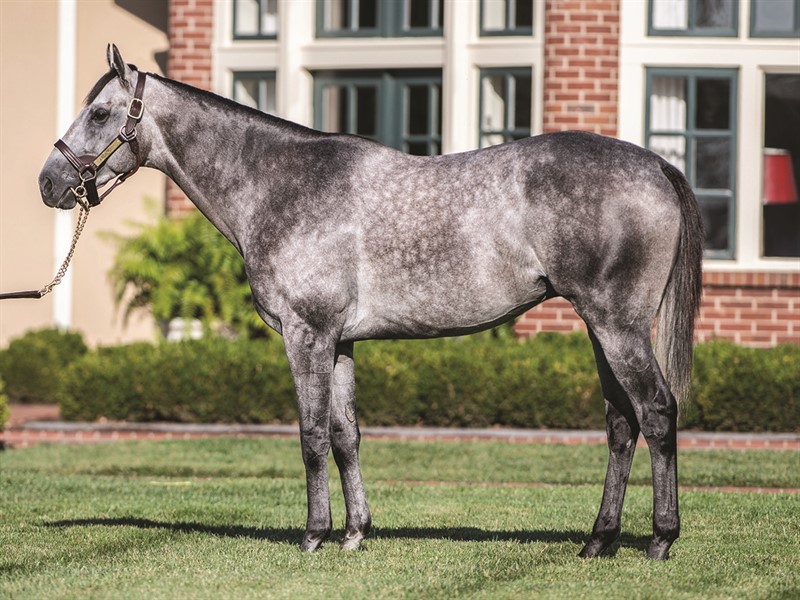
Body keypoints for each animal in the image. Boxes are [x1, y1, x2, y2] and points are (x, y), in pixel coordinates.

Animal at [38, 45, 703, 560]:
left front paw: (314, 535)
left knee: (655, 412)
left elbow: (310, 435)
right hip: (599, 328)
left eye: (99, 111)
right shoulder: (340, 344)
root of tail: (656, 165)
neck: (279, 184)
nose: (48, 182)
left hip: (617, 327)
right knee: (620, 424)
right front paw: (356, 532)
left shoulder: (306, 336)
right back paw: (598, 540)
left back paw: (660, 540)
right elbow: (345, 436)